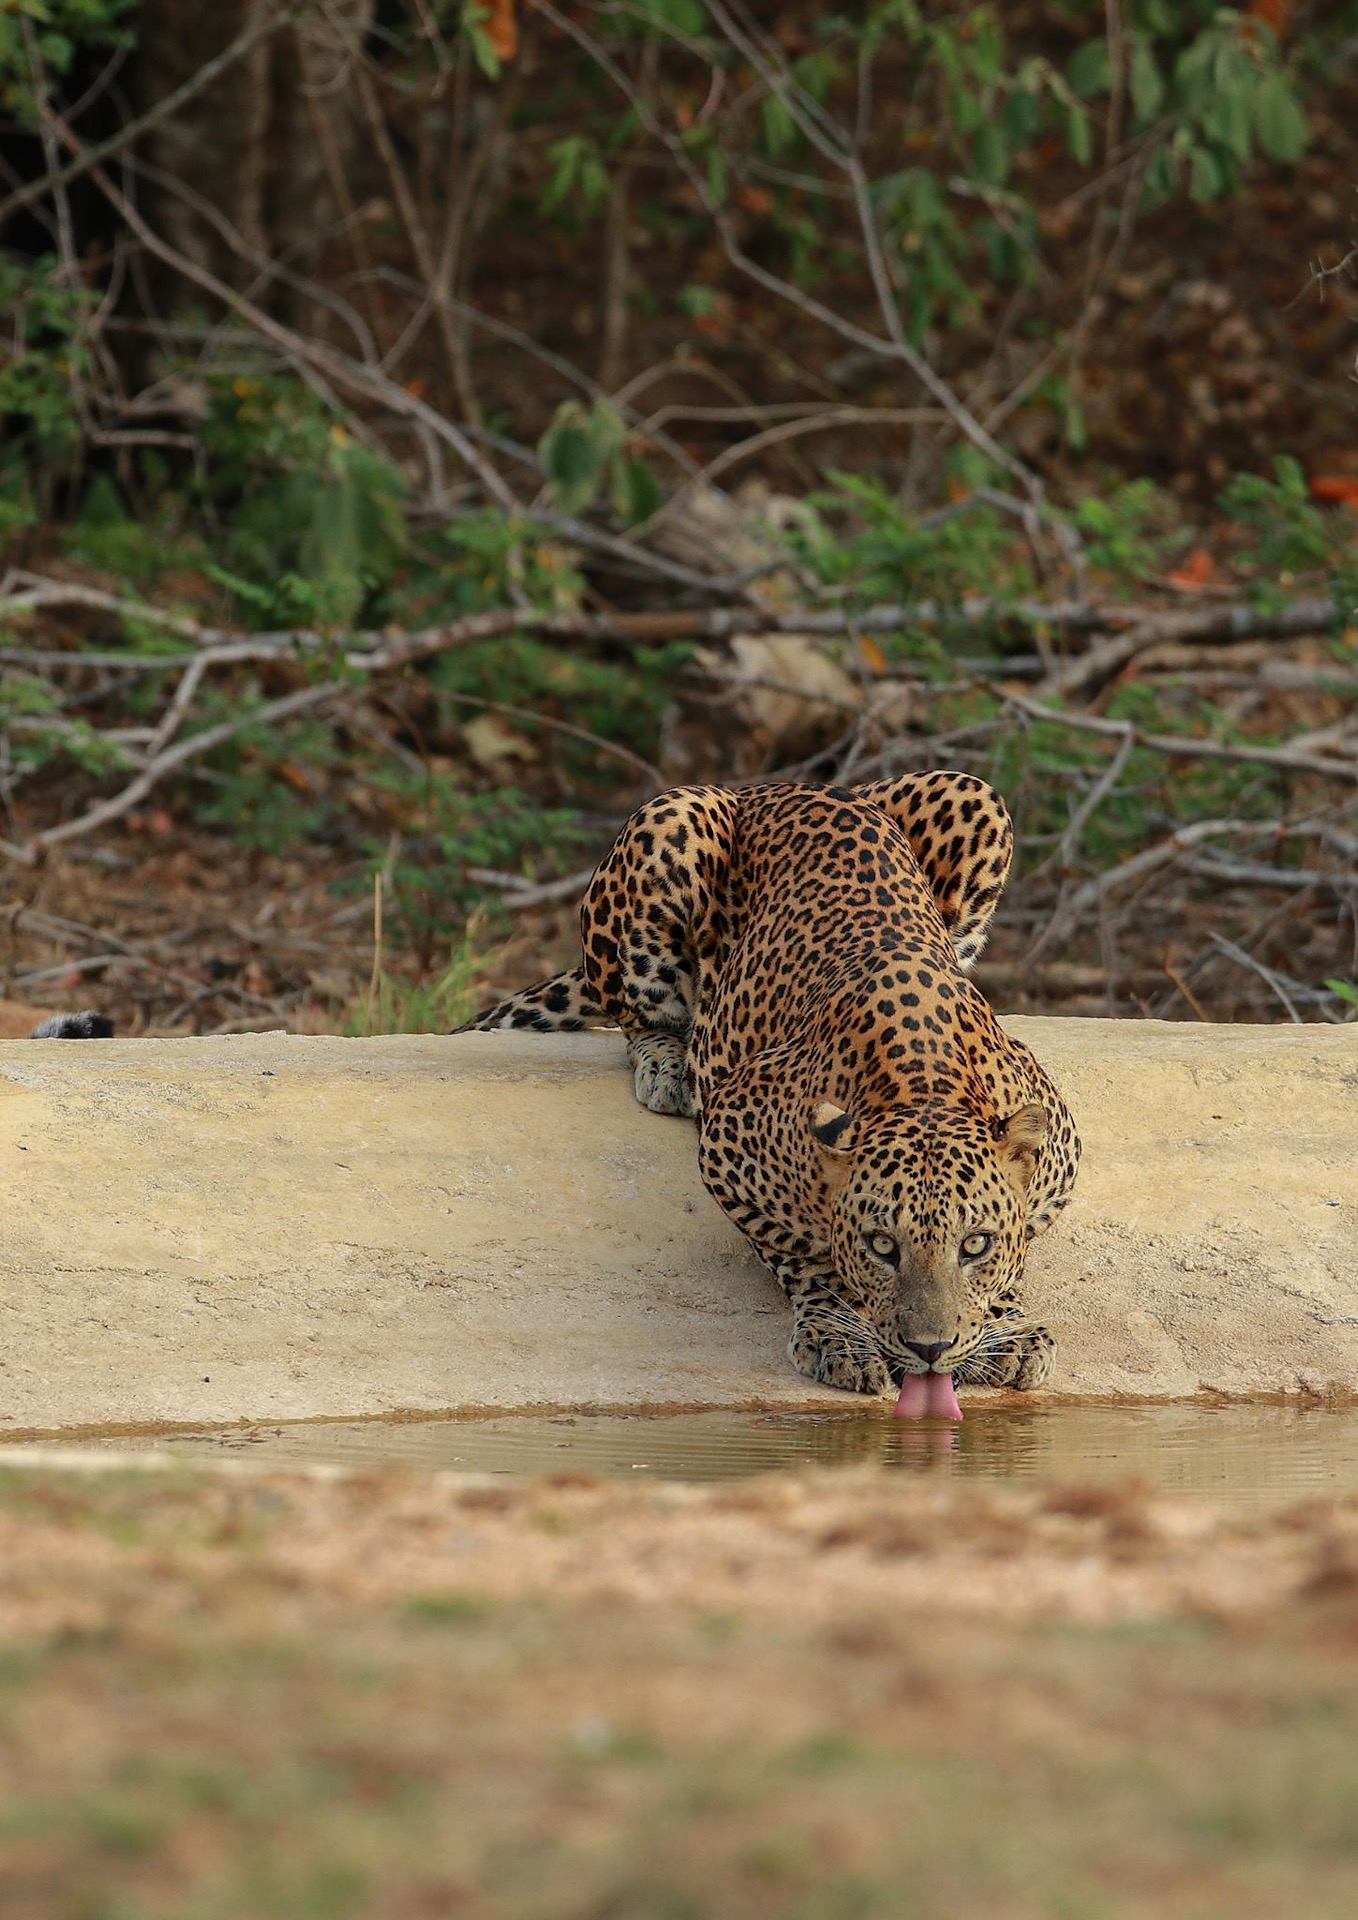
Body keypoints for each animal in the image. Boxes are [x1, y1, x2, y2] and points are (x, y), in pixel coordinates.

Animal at [463, 771, 1080, 1400]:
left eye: (974, 1244)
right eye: (882, 1246)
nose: (929, 1350)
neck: (922, 1080)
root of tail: (771, 787)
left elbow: (1018, 1240)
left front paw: (1004, 1328)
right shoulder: (726, 1146)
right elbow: (808, 1257)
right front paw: (836, 1333)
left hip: (971, 794)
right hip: (668, 827)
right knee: (636, 1014)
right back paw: (667, 1066)